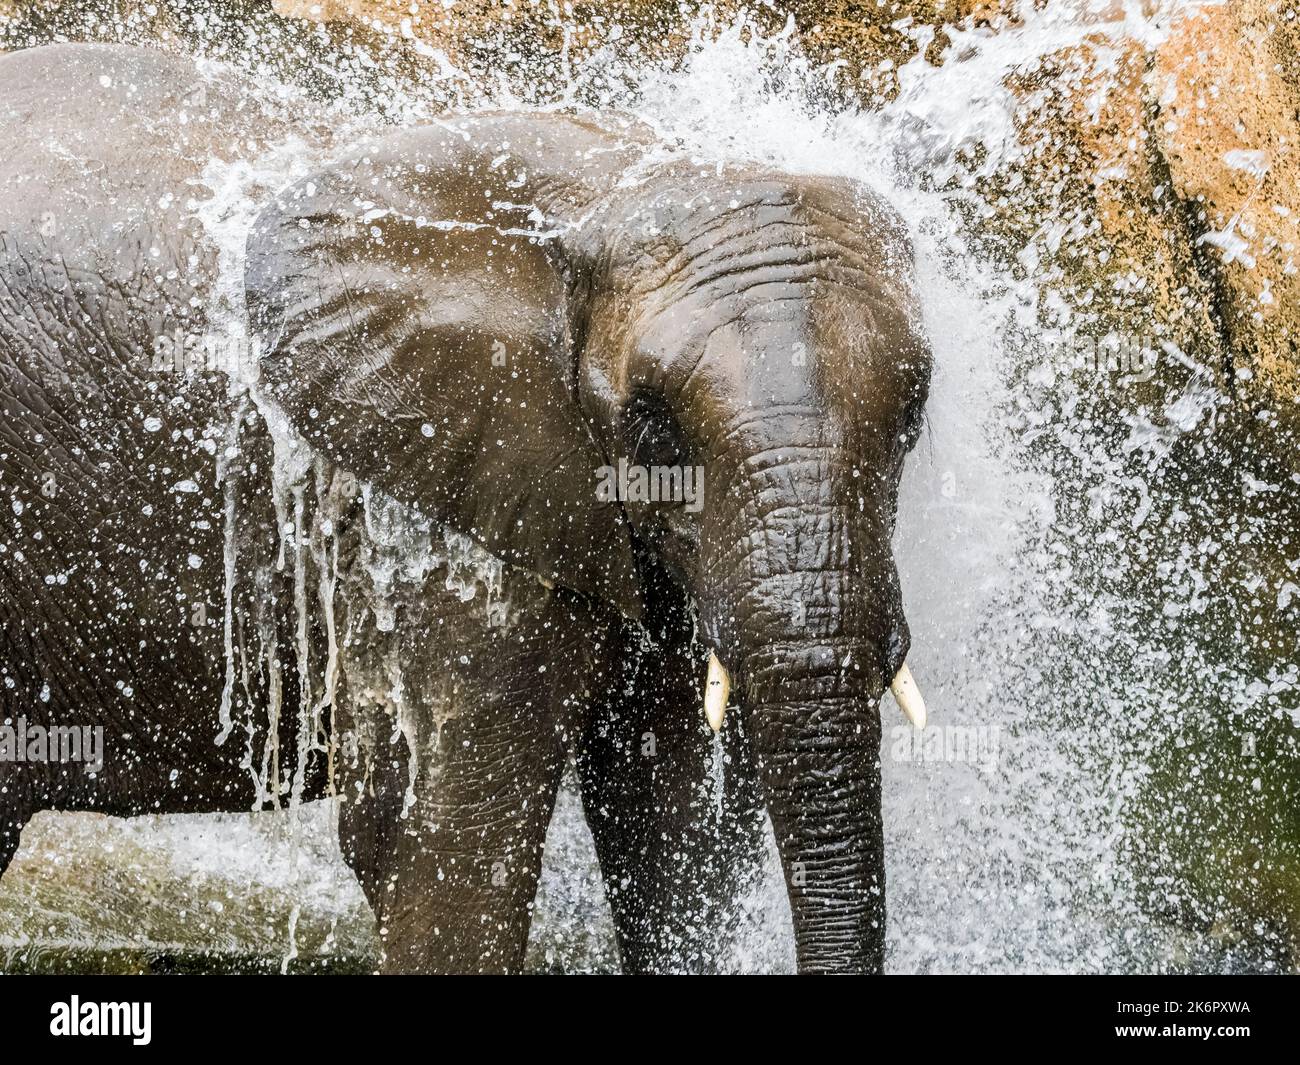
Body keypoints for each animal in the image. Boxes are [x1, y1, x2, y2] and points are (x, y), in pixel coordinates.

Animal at [0, 42, 931, 973]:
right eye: (653, 427)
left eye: (914, 414)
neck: (609, 189)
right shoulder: (443, 514)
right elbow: (444, 841)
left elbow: (676, 827)